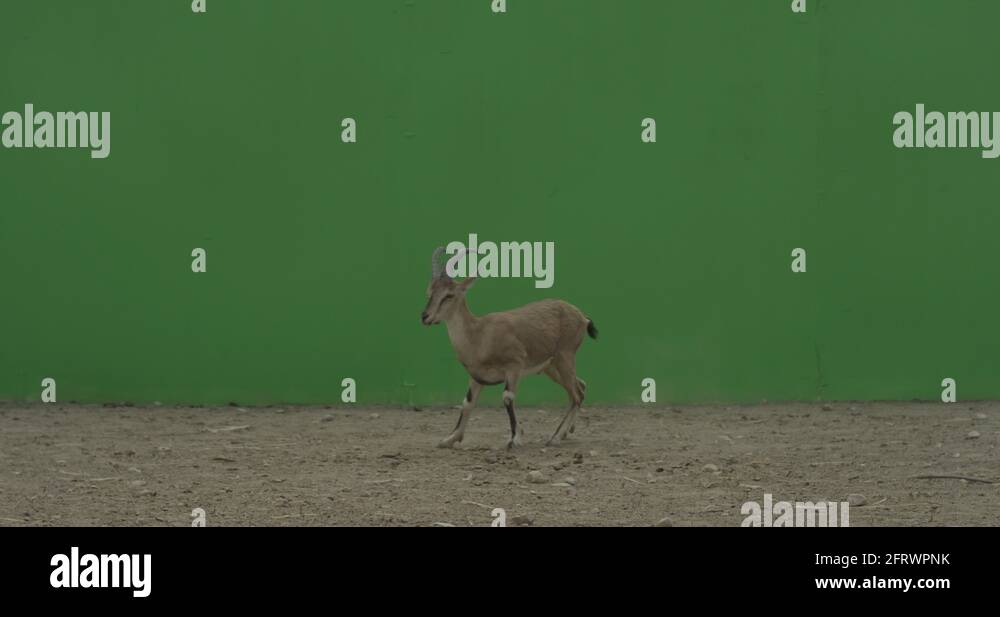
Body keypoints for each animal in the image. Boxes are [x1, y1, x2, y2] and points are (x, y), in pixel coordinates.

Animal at [421, 246, 597, 449]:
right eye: (430, 292)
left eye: (449, 295)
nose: (425, 316)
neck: (479, 335)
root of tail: (582, 317)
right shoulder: (477, 377)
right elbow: (467, 403)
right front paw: (450, 439)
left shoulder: (514, 366)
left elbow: (507, 397)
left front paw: (515, 438)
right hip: (551, 367)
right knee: (579, 388)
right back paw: (567, 432)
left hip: (565, 357)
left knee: (576, 394)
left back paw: (555, 437)